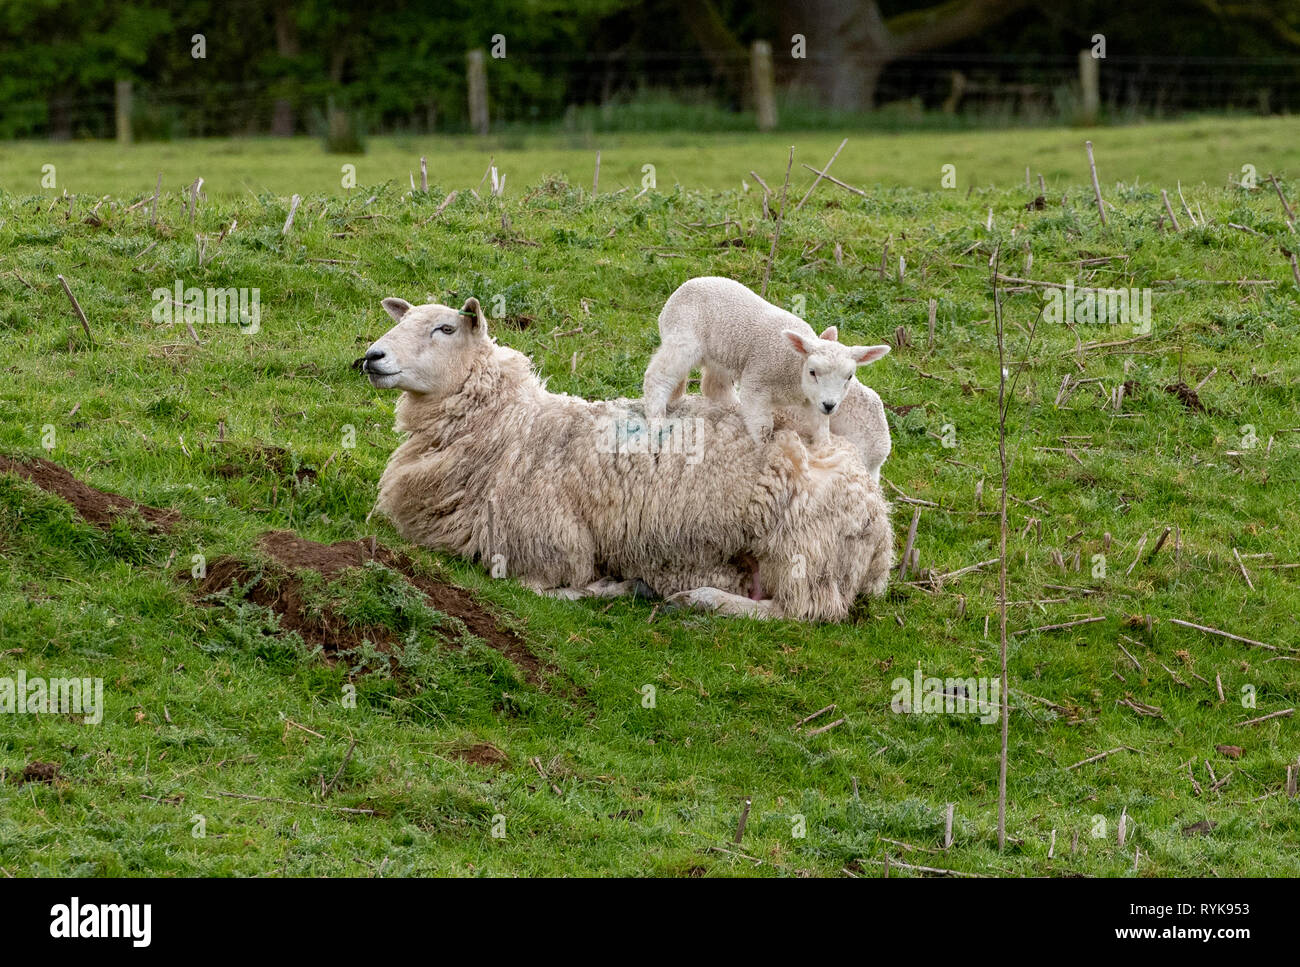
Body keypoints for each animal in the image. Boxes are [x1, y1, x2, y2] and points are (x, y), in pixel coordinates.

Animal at [642, 276, 893, 481]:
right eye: (812, 372)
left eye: (849, 376)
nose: (830, 405)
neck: (794, 370)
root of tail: (683, 288)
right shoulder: (758, 382)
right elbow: (763, 429)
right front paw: (766, 453)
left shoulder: (812, 403)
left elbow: (822, 430)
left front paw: (824, 451)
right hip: (683, 338)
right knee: (658, 377)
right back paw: (657, 421)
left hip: (721, 355)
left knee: (714, 386)